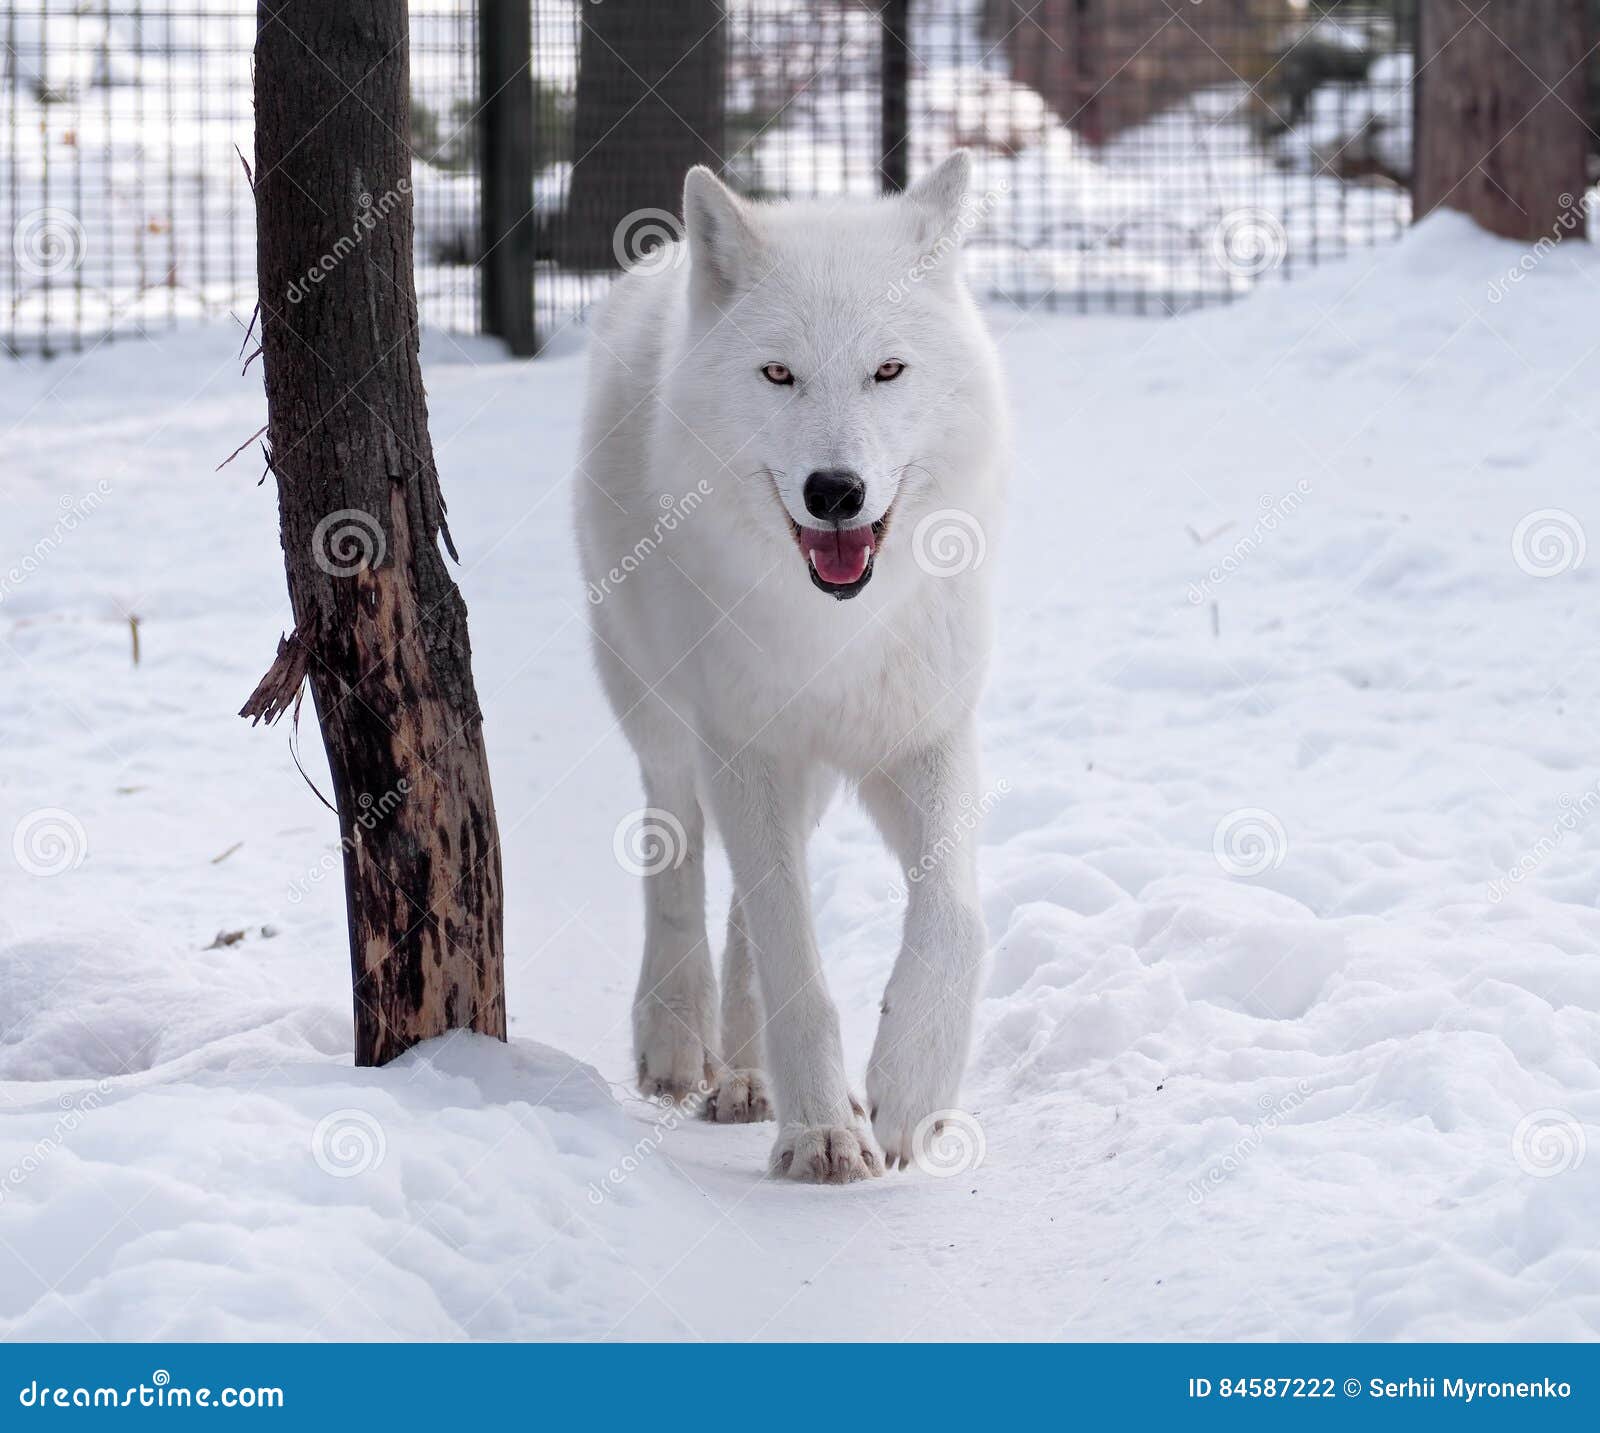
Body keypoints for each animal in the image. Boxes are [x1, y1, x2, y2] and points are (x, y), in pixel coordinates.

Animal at [574, 152, 1007, 1182]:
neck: (835, 628)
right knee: (677, 849)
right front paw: (820, 1133)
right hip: (657, 708)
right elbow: (791, 957)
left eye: (888, 369)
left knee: (746, 906)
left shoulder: (924, 735)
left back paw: (744, 1072)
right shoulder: (744, 744)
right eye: (779, 373)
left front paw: (907, 1092)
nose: (835, 492)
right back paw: (679, 1036)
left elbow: (955, 918)